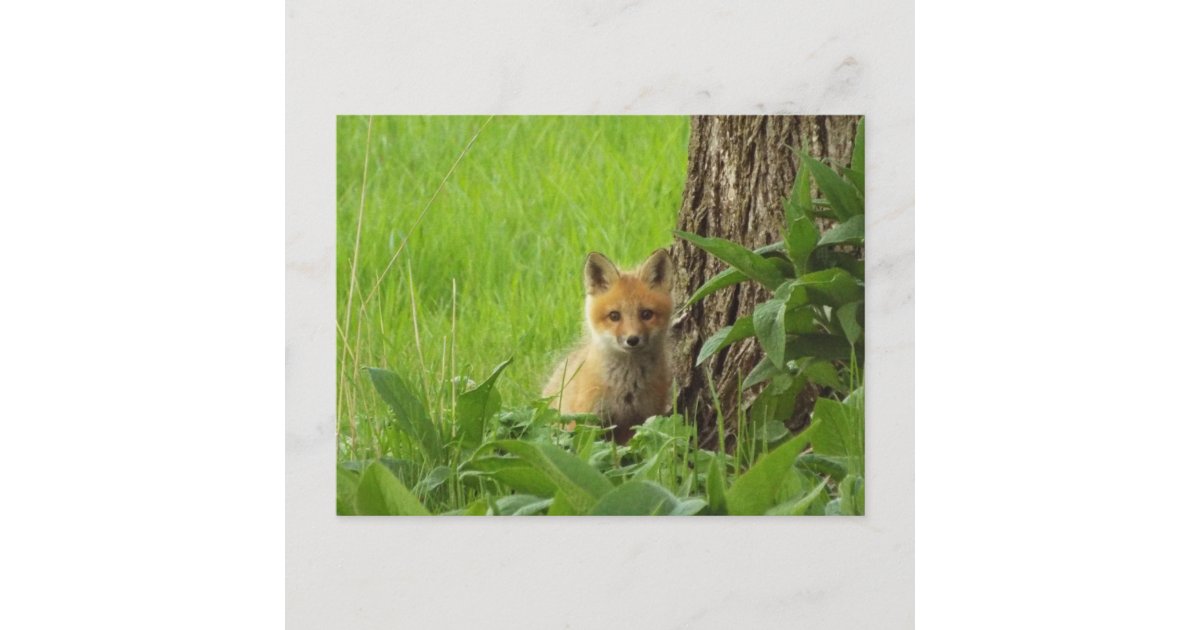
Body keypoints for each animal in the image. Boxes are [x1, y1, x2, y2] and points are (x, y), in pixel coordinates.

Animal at [542, 248, 675, 443]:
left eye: (646, 314)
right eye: (614, 316)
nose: (632, 339)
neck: (627, 388)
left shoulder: (641, 421)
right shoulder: (585, 419)